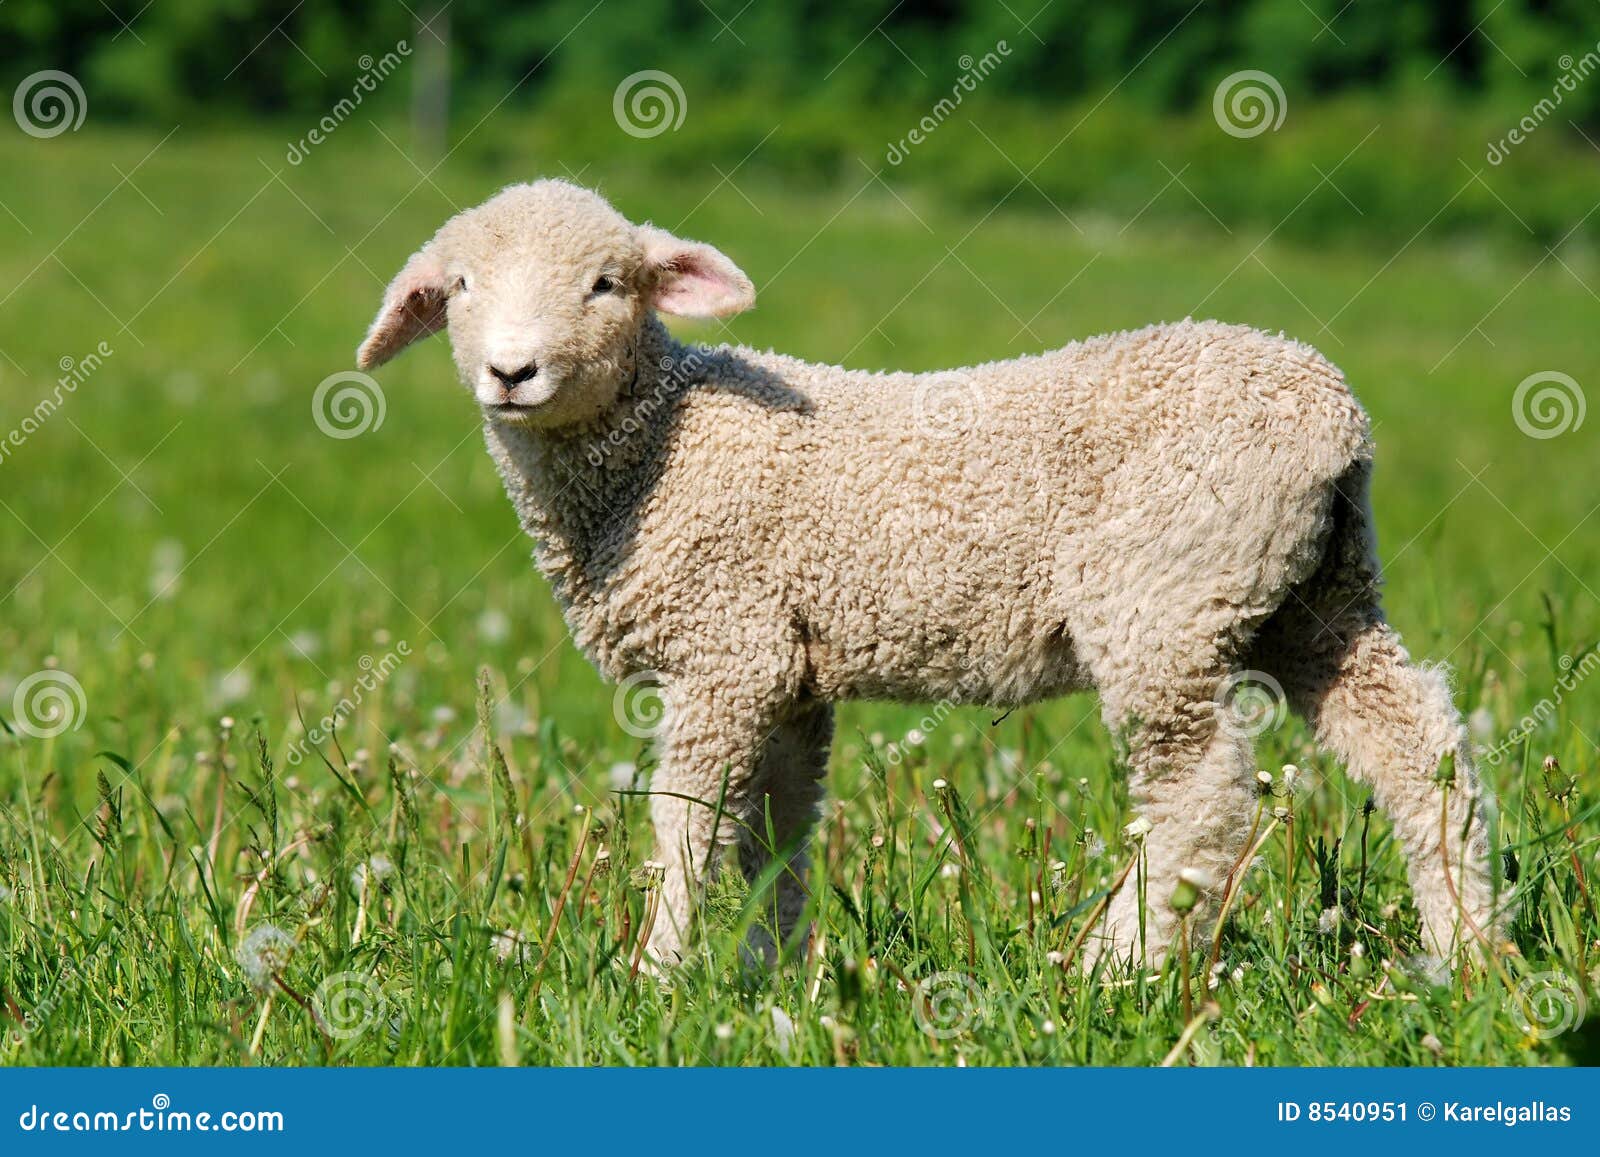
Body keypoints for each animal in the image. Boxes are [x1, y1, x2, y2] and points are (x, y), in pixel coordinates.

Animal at [356, 178, 1504, 969]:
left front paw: (657, 974)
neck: (661, 444)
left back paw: (1111, 965)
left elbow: (688, 823)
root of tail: (1335, 418)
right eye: (459, 287)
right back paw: (1469, 953)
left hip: (1163, 595)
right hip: (1315, 594)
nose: (511, 371)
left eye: (607, 283)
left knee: (1204, 793)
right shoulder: (787, 669)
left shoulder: (724, 647)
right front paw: (771, 976)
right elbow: (776, 832)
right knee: (1417, 747)